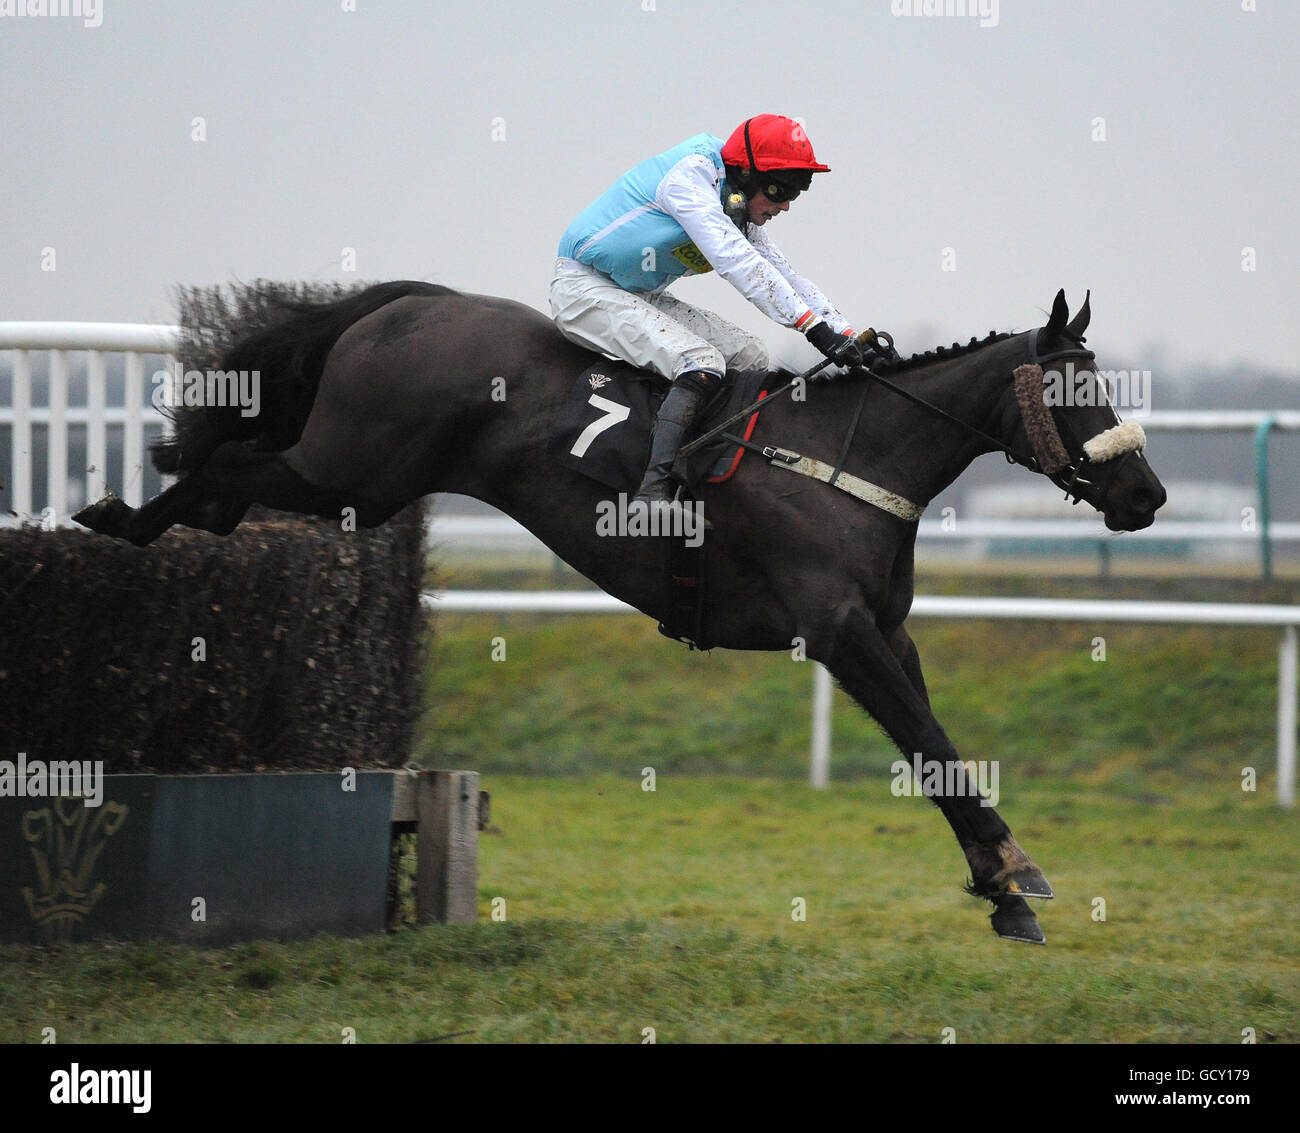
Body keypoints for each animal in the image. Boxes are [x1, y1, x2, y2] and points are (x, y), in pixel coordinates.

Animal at [74, 283, 1166, 943]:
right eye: (1079, 389)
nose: (1146, 494)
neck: (853, 455)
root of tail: (410, 300)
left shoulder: (886, 628)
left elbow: (936, 749)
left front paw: (1000, 886)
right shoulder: (837, 629)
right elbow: (932, 742)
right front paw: (1016, 873)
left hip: (362, 483)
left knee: (229, 482)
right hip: (350, 466)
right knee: (223, 464)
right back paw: (117, 520)